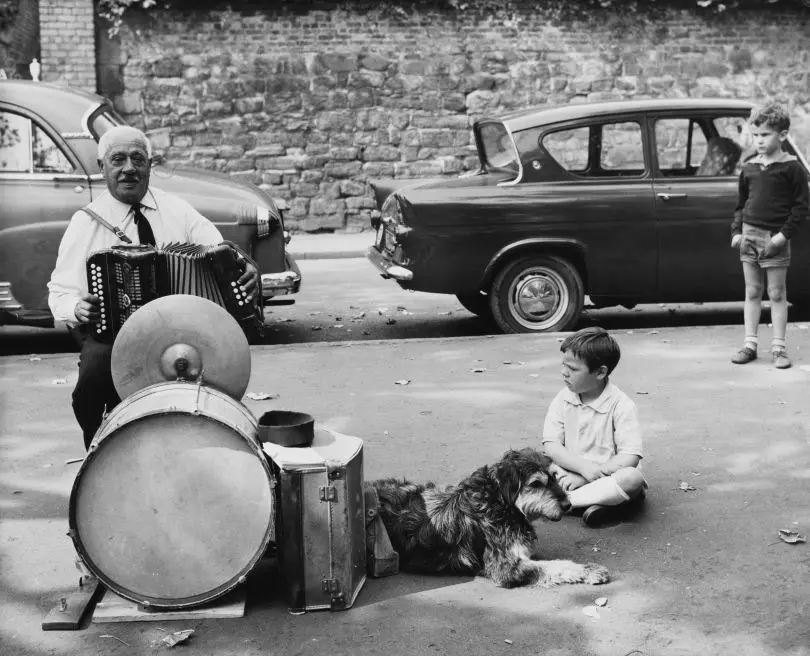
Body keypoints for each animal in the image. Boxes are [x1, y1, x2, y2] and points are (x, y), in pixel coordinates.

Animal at [366, 448, 608, 588]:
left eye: (555, 476)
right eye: (536, 484)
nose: (567, 505)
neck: (501, 502)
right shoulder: (505, 567)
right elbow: (553, 566)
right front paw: (589, 570)